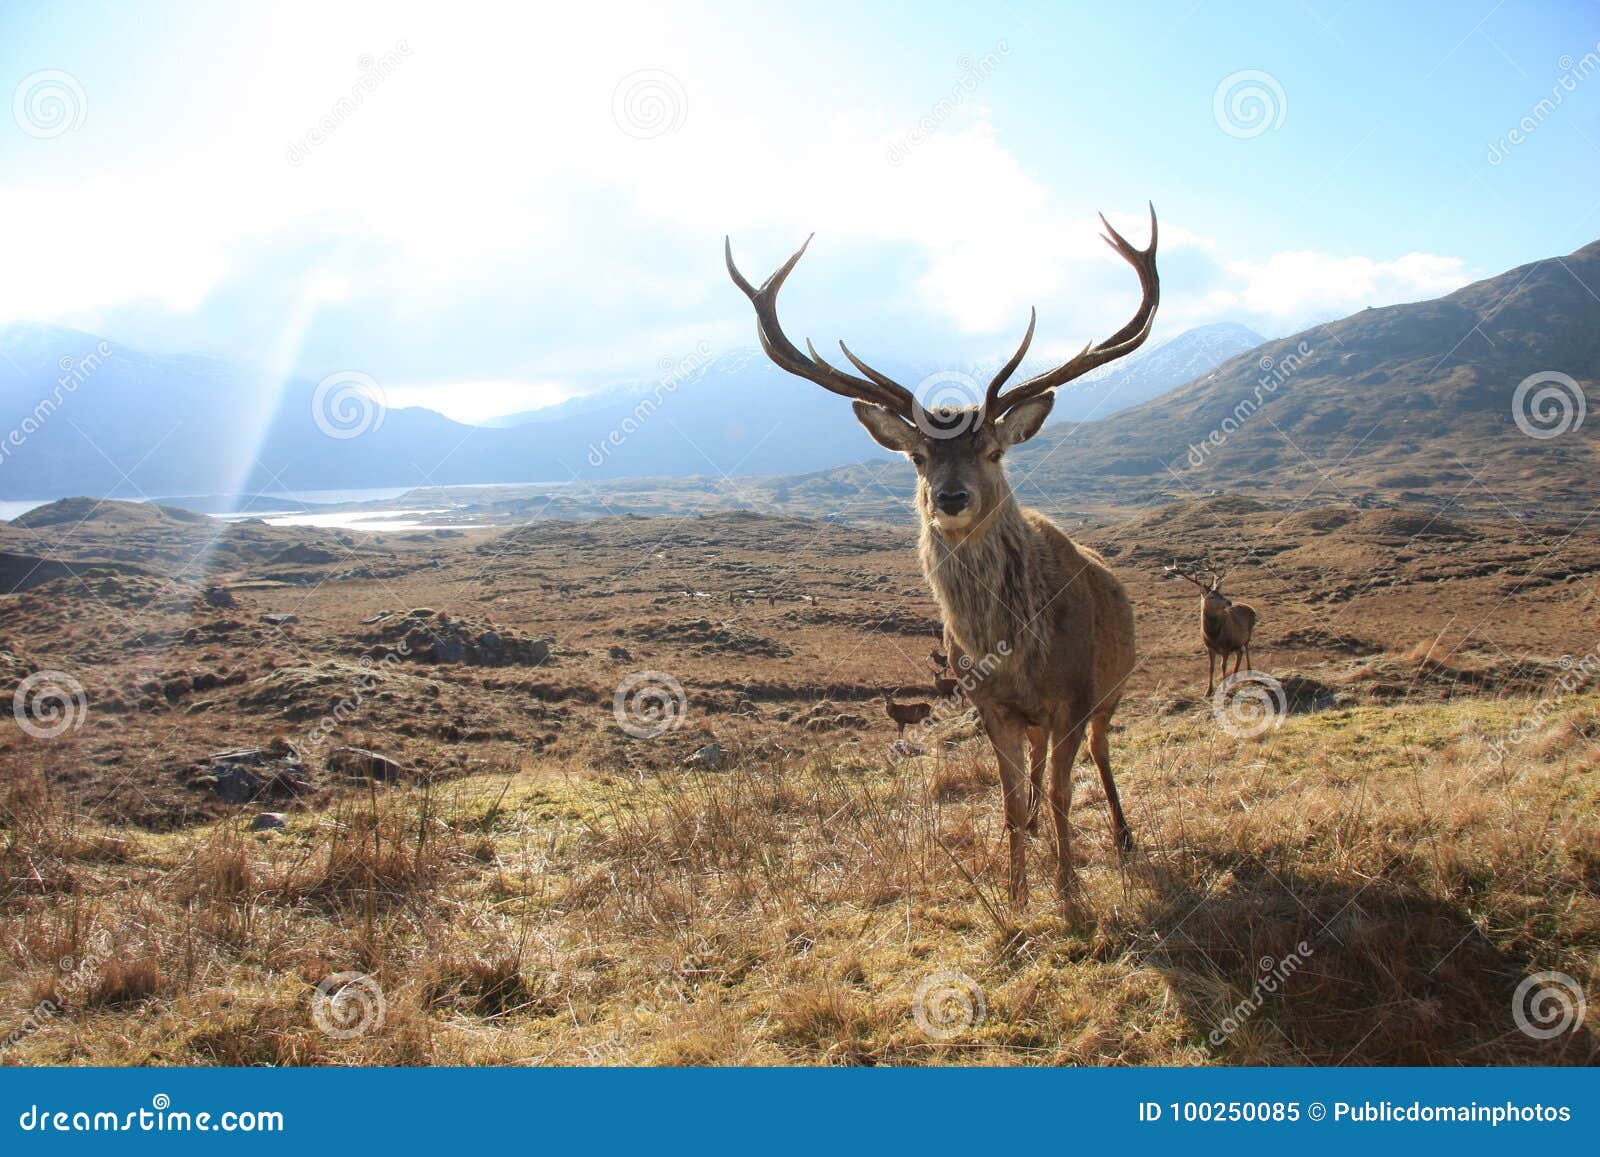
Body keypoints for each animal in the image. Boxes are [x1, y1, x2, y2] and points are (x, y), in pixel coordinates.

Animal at [728, 206, 1157, 908]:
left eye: (993, 450)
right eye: (917, 457)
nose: (950, 498)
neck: (1017, 650)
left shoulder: (1074, 693)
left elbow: (1066, 793)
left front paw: (1070, 891)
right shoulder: (991, 708)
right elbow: (1010, 802)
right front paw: (1016, 895)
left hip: (1113, 689)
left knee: (1099, 756)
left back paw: (1122, 838)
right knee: (1038, 772)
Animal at [1165, 562, 1257, 695]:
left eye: (1220, 593)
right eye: (1211, 596)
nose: (1229, 602)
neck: (1213, 636)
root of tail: (1251, 608)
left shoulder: (1226, 645)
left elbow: (1222, 665)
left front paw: (1223, 688)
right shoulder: (1209, 647)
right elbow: (1211, 667)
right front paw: (1208, 691)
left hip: (1248, 634)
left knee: (1246, 650)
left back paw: (1249, 671)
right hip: (1236, 643)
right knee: (1240, 653)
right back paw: (1234, 677)